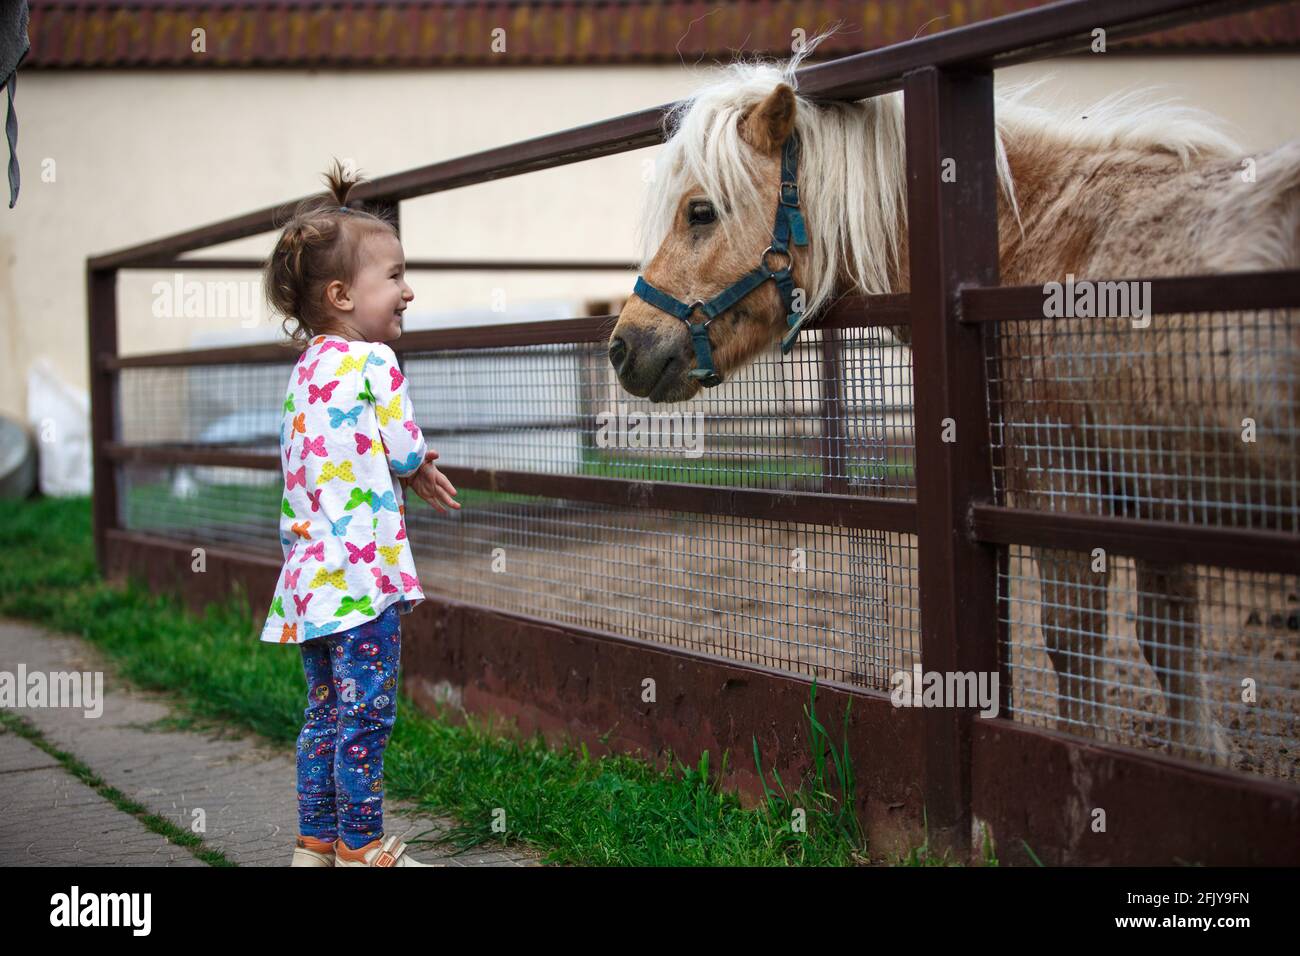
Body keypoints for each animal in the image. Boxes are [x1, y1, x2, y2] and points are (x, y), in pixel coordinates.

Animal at [608, 30, 1300, 767]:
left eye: (701, 211)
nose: (623, 346)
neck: (1029, 239)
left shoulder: (1062, 479)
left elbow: (1076, 636)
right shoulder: (1155, 487)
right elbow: (1169, 632)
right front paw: (1198, 755)